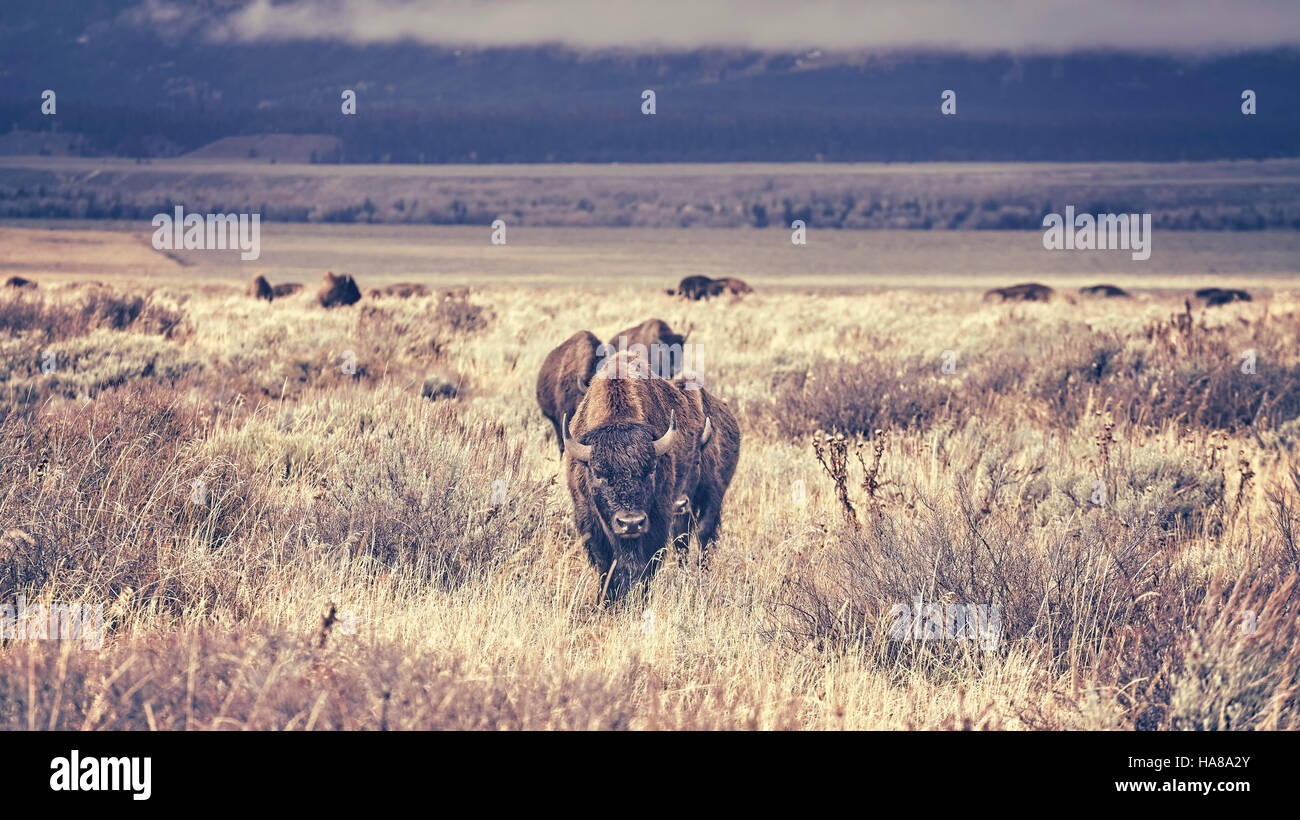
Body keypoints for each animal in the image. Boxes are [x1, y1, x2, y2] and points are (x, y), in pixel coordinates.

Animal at [563, 350, 738, 599]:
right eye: (597, 473)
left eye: (651, 470)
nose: (631, 523)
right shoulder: (590, 521)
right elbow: (607, 566)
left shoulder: (660, 518)